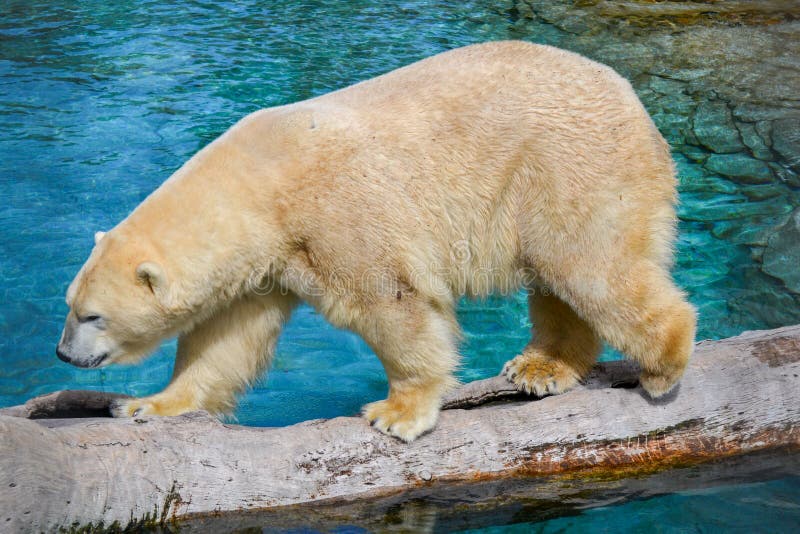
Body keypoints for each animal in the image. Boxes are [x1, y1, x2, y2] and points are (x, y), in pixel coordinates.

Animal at [56, 41, 696, 442]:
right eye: (70, 306)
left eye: (92, 317)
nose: (64, 354)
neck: (262, 184)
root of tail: (633, 100)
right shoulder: (269, 261)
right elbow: (225, 343)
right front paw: (146, 404)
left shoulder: (336, 212)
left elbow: (391, 301)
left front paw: (398, 413)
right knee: (559, 279)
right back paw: (543, 368)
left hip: (570, 169)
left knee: (591, 267)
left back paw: (661, 368)